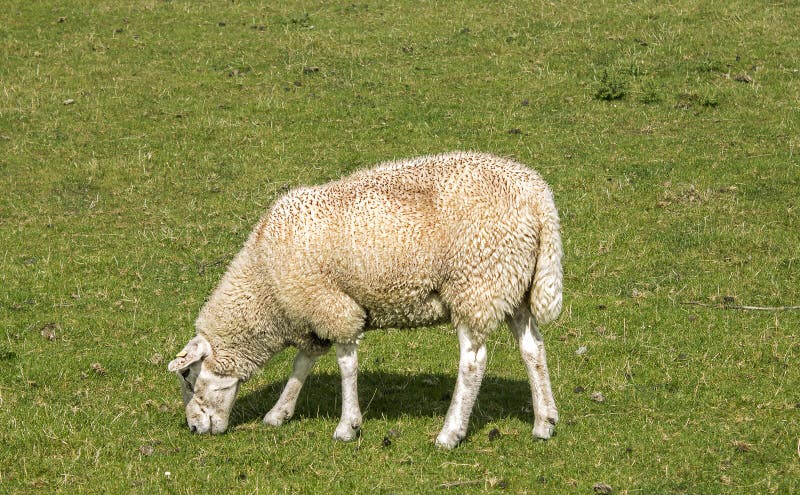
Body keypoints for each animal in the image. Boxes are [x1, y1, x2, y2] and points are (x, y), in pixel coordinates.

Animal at [168, 151, 563, 449]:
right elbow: (302, 364)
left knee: (473, 362)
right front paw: (280, 412)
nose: (194, 428)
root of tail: (539, 197)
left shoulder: (331, 306)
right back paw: (544, 422)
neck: (265, 286)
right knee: (533, 348)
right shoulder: (311, 314)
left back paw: (450, 433)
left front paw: (347, 426)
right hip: (514, 284)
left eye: (188, 377)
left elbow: (346, 365)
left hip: (477, 282)